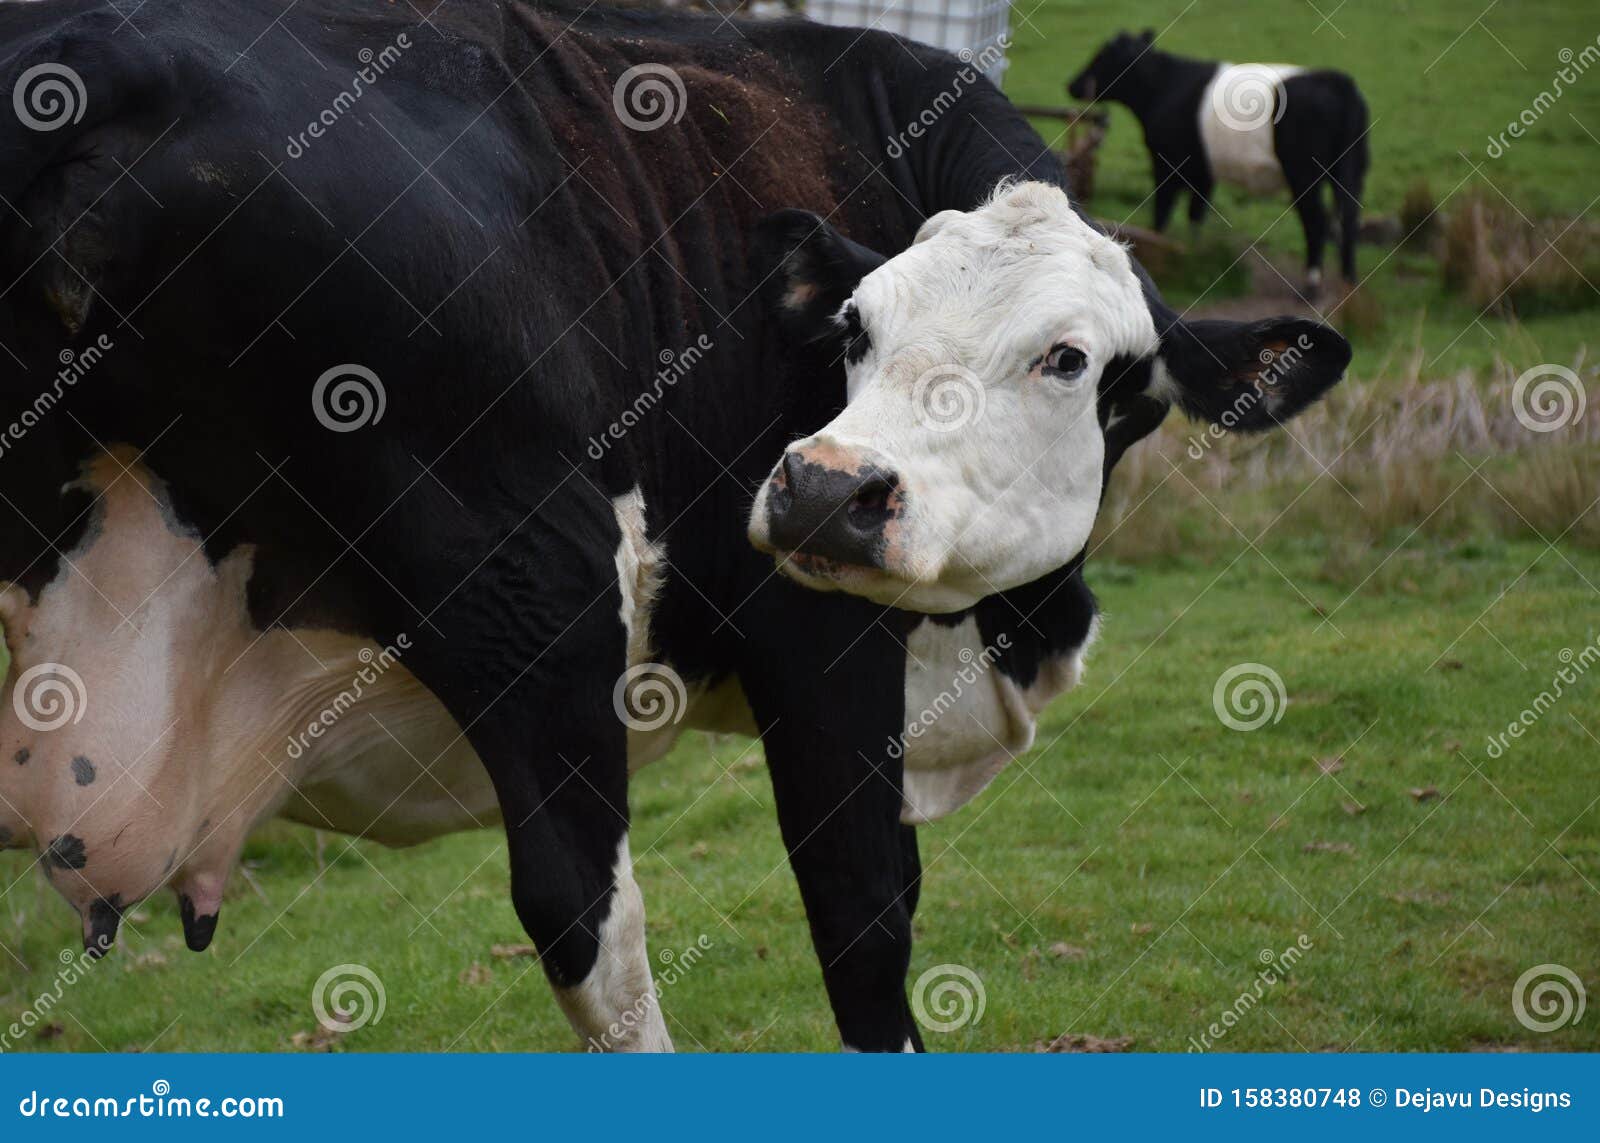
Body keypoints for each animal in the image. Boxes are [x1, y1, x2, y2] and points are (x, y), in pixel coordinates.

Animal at [1066, 30, 1369, 292]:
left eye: (1103, 56)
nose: (1073, 84)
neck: (1165, 87)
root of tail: (1338, 81)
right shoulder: (1203, 170)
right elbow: (1196, 213)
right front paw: (1193, 252)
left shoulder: (1166, 163)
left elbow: (1162, 210)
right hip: (1353, 168)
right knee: (1349, 217)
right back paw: (1348, 281)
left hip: (1304, 172)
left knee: (1317, 220)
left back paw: (1312, 283)